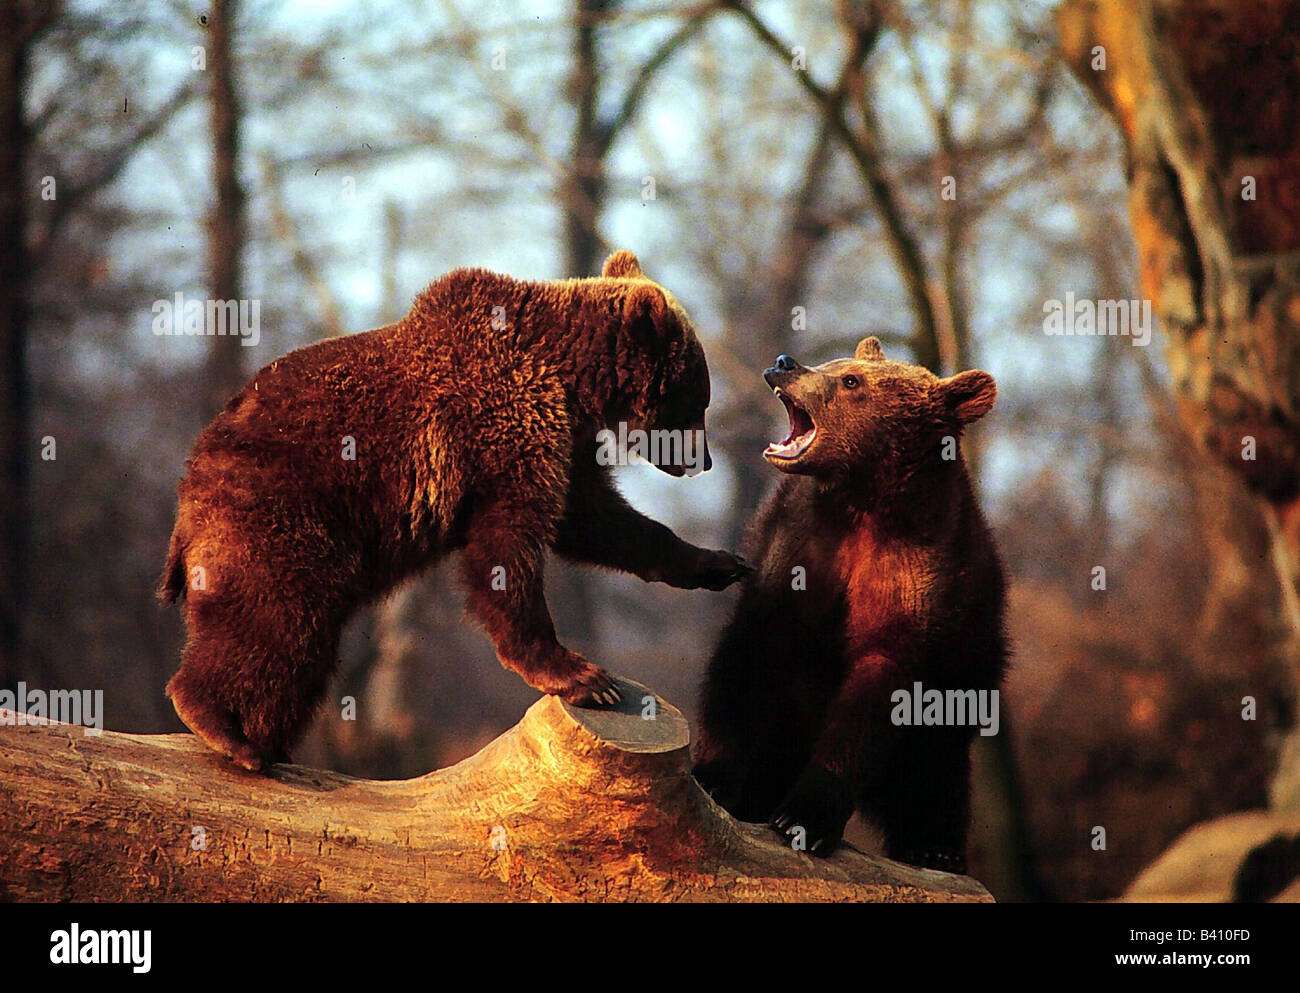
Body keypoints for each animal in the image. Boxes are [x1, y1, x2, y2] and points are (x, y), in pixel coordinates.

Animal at [159, 250, 750, 771]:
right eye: (698, 400)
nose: (703, 460)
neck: (570, 381)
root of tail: (187, 486)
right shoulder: (501, 429)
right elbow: (509, 546)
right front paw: (581, 676)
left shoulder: (563, 445)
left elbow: (597, 521)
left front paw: (719, 563)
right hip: (279, 512)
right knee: (278, 617)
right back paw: (225, 729)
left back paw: (266, 740)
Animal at [692, 336, 1007, 872]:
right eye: (836, 363)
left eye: (851, 381)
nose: (785, 363)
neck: (863, 503)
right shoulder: (801, 550)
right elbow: (748, 662)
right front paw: (715, 777)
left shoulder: (914, 577)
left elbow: (876, 693)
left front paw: (805, 819)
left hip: (970, 665)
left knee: (935, 765)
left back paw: (935, 847)